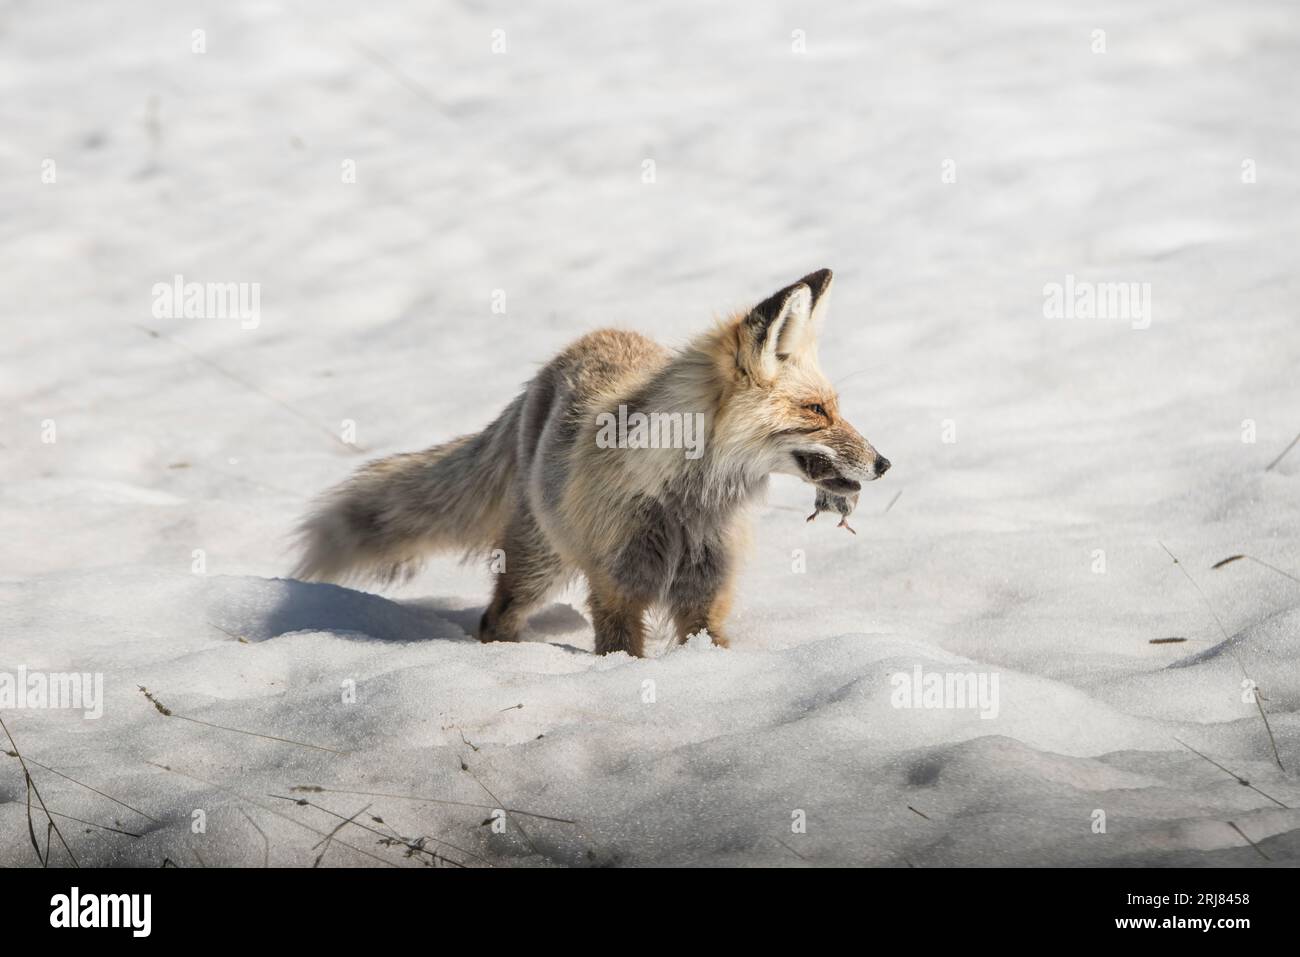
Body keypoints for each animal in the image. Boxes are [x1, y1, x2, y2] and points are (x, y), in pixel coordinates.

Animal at [294, 268, 890, 656]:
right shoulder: (616, 588)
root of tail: (552, 366)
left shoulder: (707, 593)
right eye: (816, 411)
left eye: (834, 406)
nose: (884, 464)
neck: (685, 506)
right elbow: (621, 650)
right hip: (538, 568)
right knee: (494, 617)